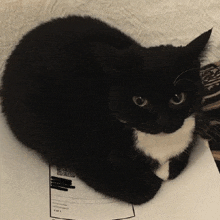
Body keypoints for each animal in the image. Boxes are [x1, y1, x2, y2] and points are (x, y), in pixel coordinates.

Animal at [0, 15, 212, 205]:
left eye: (177, 98)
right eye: (139, 100)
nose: (163, 121)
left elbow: (178, 161)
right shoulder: (81, 149)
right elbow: (139, 188)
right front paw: (150, 181)